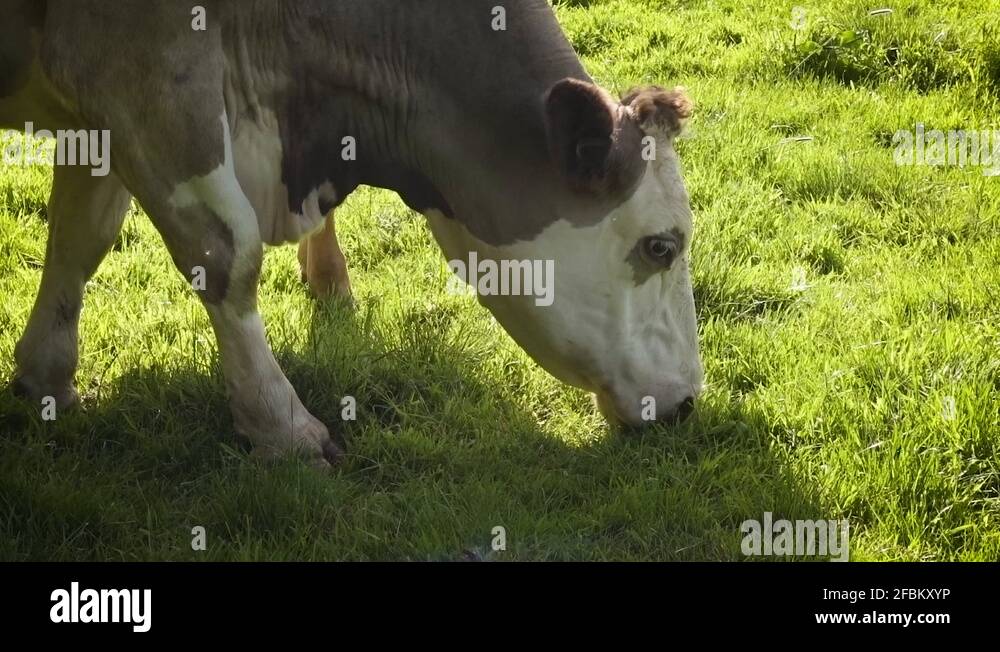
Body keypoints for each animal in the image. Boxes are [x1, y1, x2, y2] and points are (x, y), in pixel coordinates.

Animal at [1, 0, 704, 468]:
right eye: (660, 246)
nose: (689, 404)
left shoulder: (97, 114)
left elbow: (80, 237)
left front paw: (46, 379)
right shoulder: (143, 74)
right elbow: (228, 254)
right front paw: (280, 424)